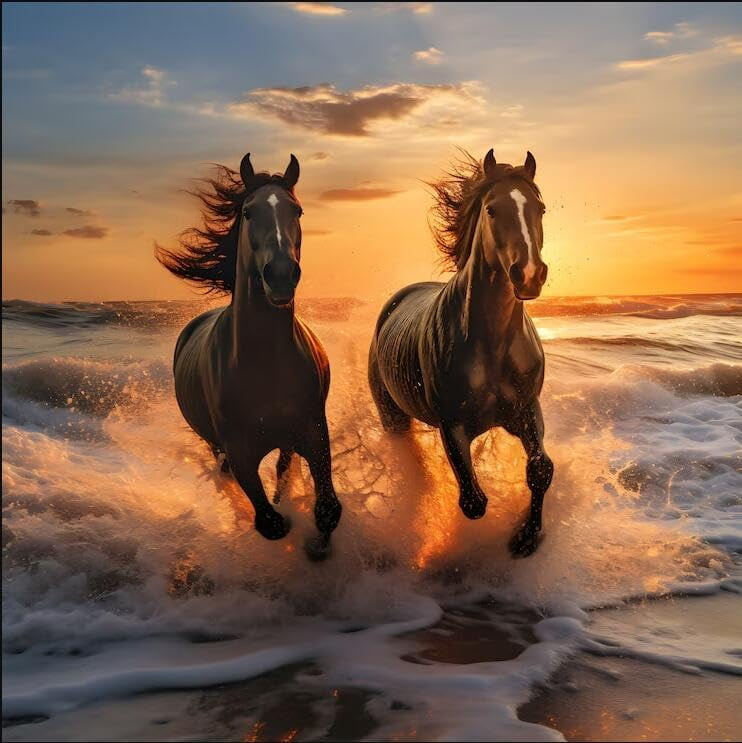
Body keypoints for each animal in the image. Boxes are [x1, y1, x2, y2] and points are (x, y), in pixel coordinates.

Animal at [156, 153, 342, 559]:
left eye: (297, 210)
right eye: (248, 211)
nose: (281, 274)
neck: (265, 364)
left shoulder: (314, 433)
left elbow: (327, 508)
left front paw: (317, 547)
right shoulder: (238, 450)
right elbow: (270, 522)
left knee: (284, 467)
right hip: (216, 446)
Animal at [368, 149, 553, 557]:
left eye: (540, 208)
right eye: (492, 210)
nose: (529, 274)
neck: (492, 343)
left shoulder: (526, 410)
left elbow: (540, 470)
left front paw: (526, 538)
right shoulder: (452, 424)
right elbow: (473, 502)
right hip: (393, 418)